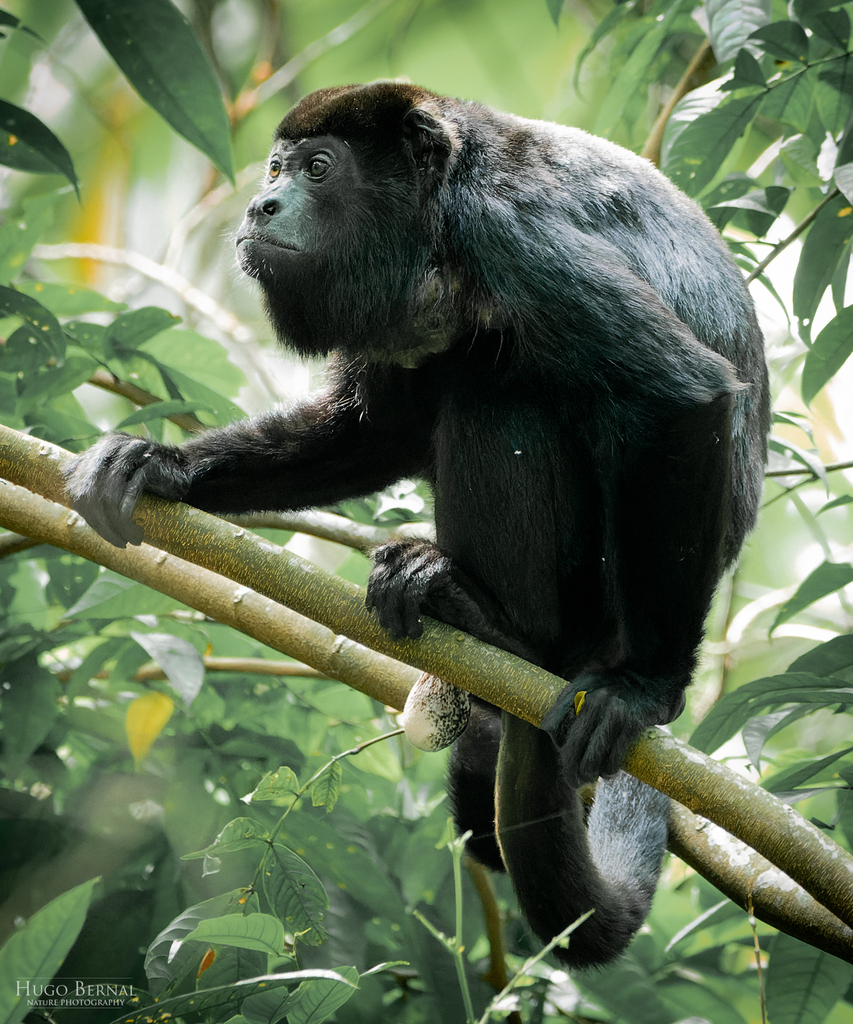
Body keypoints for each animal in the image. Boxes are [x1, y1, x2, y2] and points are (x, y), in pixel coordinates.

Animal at [66, 82, 769, 968]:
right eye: (275, 168)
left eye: (318, 169)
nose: (261, 204)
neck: (431, 223)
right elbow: (372, 428)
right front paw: (161, 464)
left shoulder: (507, 231)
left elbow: (680, 391)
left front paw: (644, 693)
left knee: (496, 389)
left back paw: (494, 623)